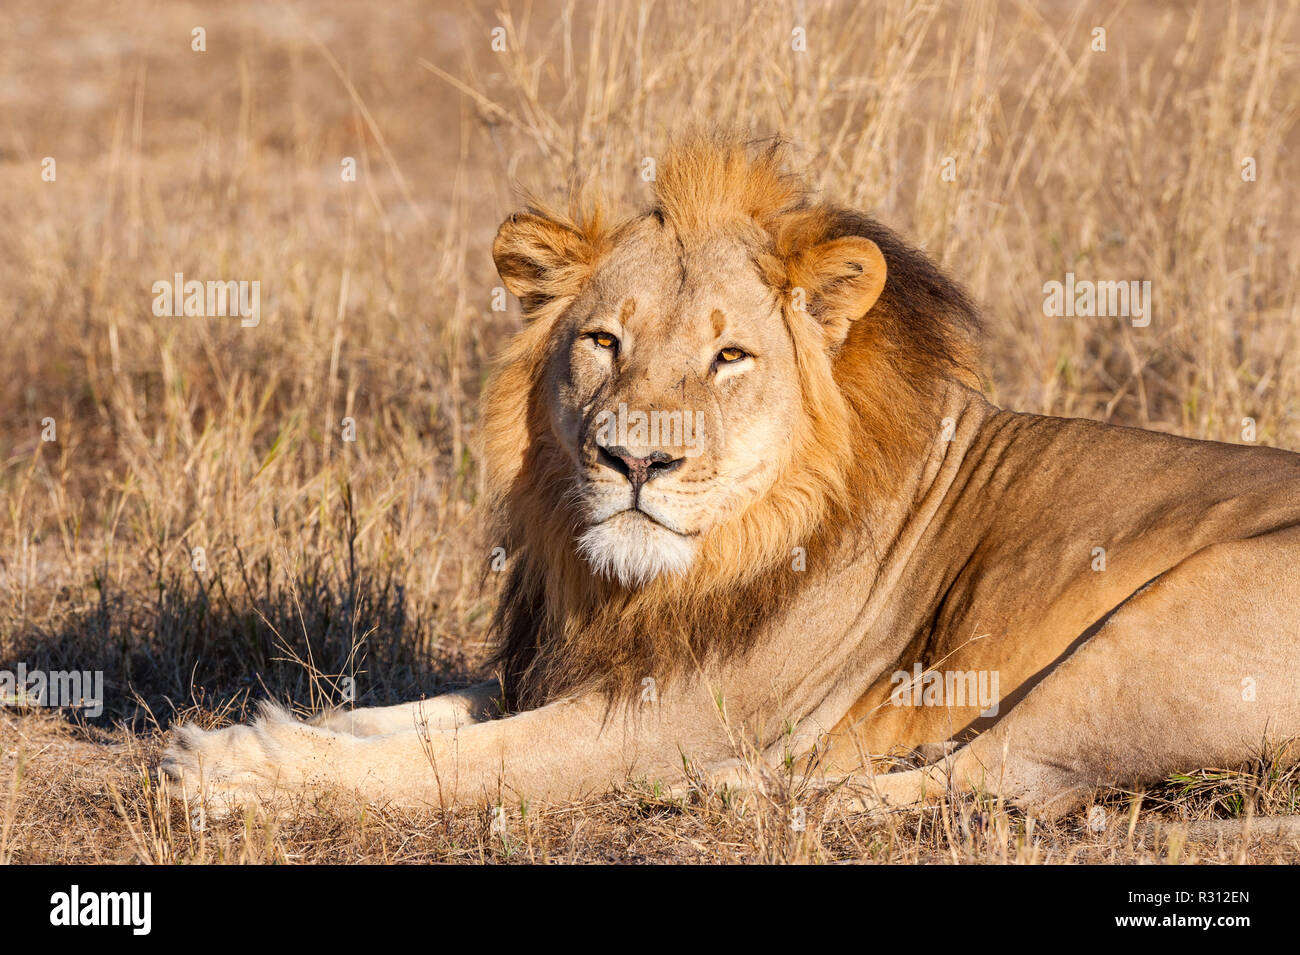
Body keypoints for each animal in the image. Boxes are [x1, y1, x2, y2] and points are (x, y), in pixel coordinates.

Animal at [162, 132, 1300, 821]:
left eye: (728, 357)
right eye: (604, 341)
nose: (633, 458)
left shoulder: (650, 724)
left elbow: (443, 762)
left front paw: (230, 770)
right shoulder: (558, 672)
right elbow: (408, 712)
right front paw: (255, 729)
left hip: (1166, 618)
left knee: (998, 775)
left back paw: (744, 791)